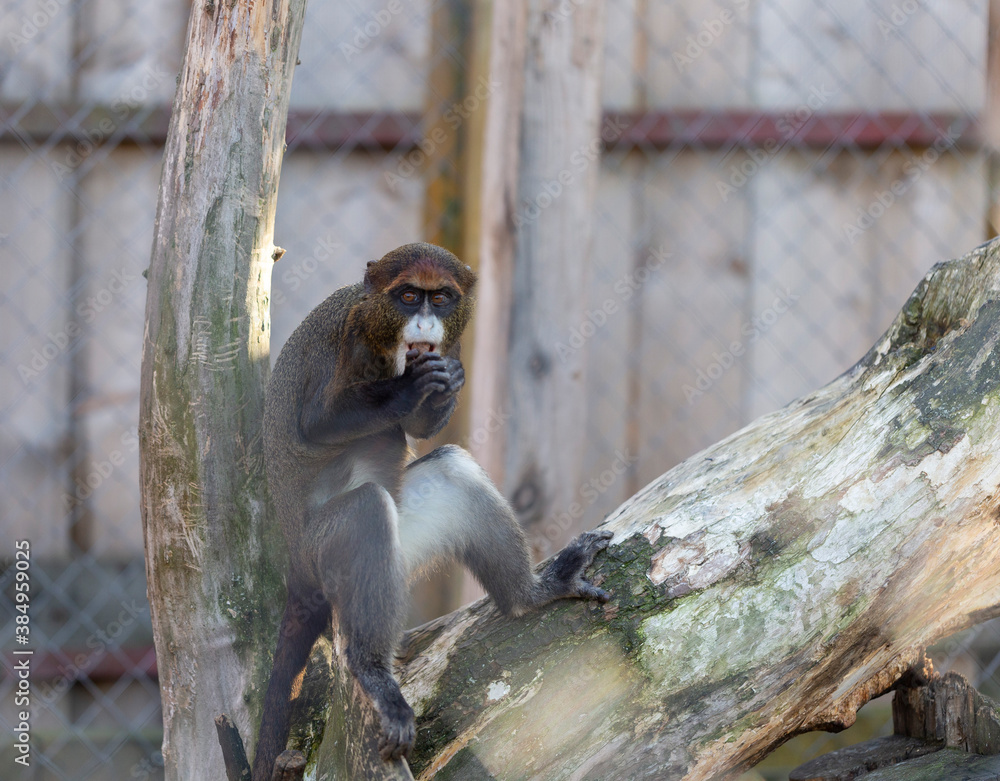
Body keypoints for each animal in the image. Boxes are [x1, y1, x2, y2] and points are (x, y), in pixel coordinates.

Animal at [251, 242, 613, 780]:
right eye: (407, 296)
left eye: (439, 298)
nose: (424, 321)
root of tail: (296, 565)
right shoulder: (349, 339)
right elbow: (315, 423)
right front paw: (405, 391)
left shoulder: (452, 343)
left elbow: (424, 425)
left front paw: (447, 383)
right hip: (323, 551)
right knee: (366, 510)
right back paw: (371, 670)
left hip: (408, 535)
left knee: (453, 469)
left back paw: (532, 595)